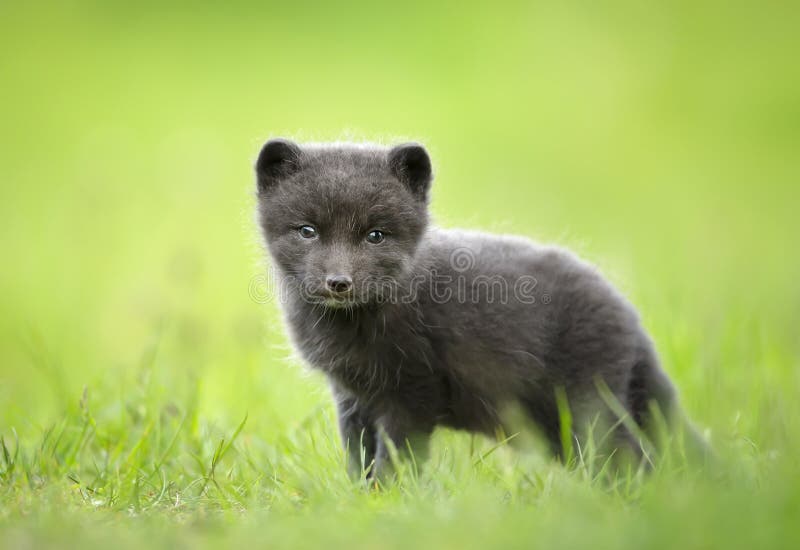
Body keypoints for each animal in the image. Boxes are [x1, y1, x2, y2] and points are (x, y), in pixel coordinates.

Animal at [255, 138, 700, 478]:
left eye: (375, 235)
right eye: (307, 231)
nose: (339, 282)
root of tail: (631, 317)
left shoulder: (414, 390)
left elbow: (397, 456)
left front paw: (389, 498)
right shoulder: (351, 395)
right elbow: (357, 455)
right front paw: (360, 498)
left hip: (588, 405)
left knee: (632, 460)